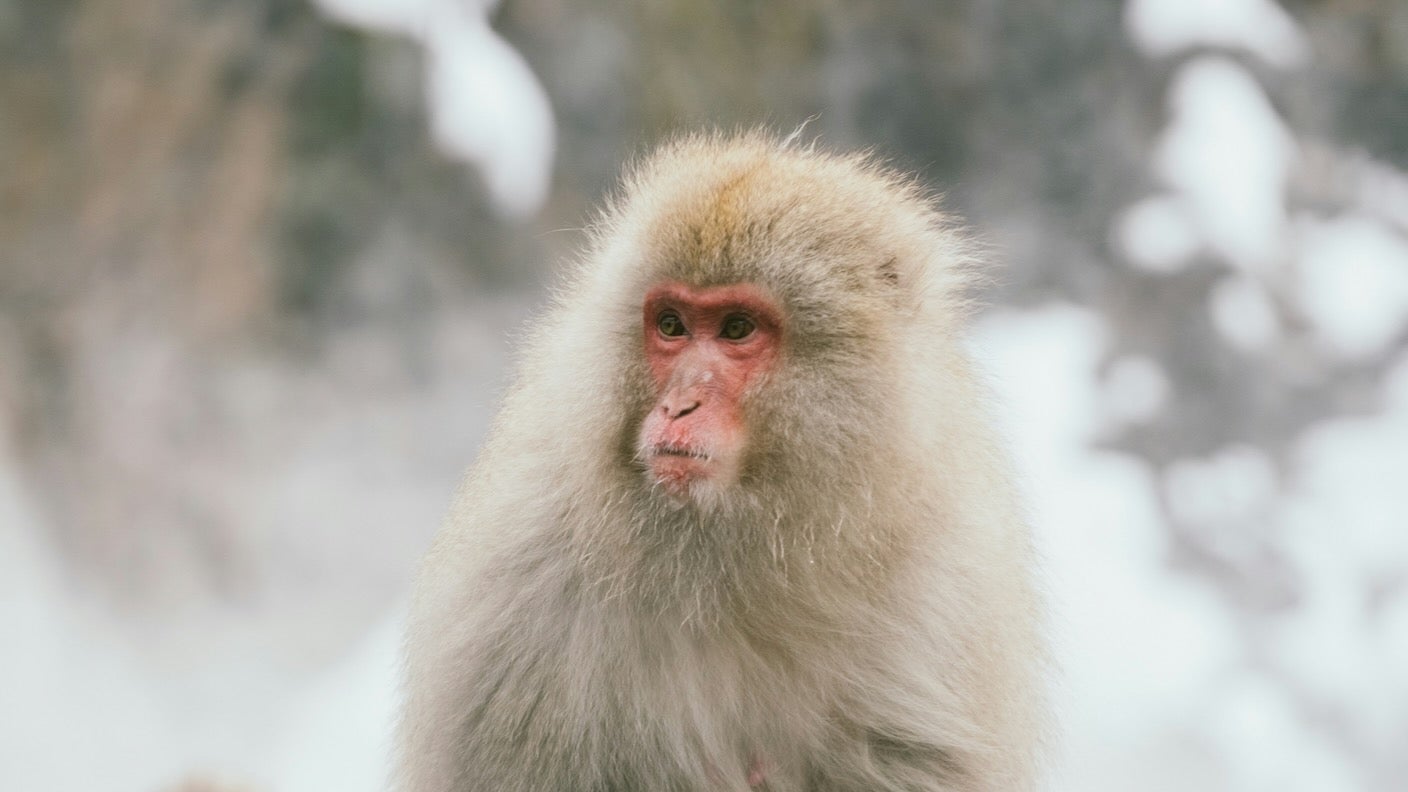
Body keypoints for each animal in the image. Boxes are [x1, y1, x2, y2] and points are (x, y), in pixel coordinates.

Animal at [395, 132, 1047, 792]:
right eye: (671, 325)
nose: (679, 405)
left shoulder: (946, 588)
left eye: (737, 328)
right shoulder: (519, 582)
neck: (735, 559)